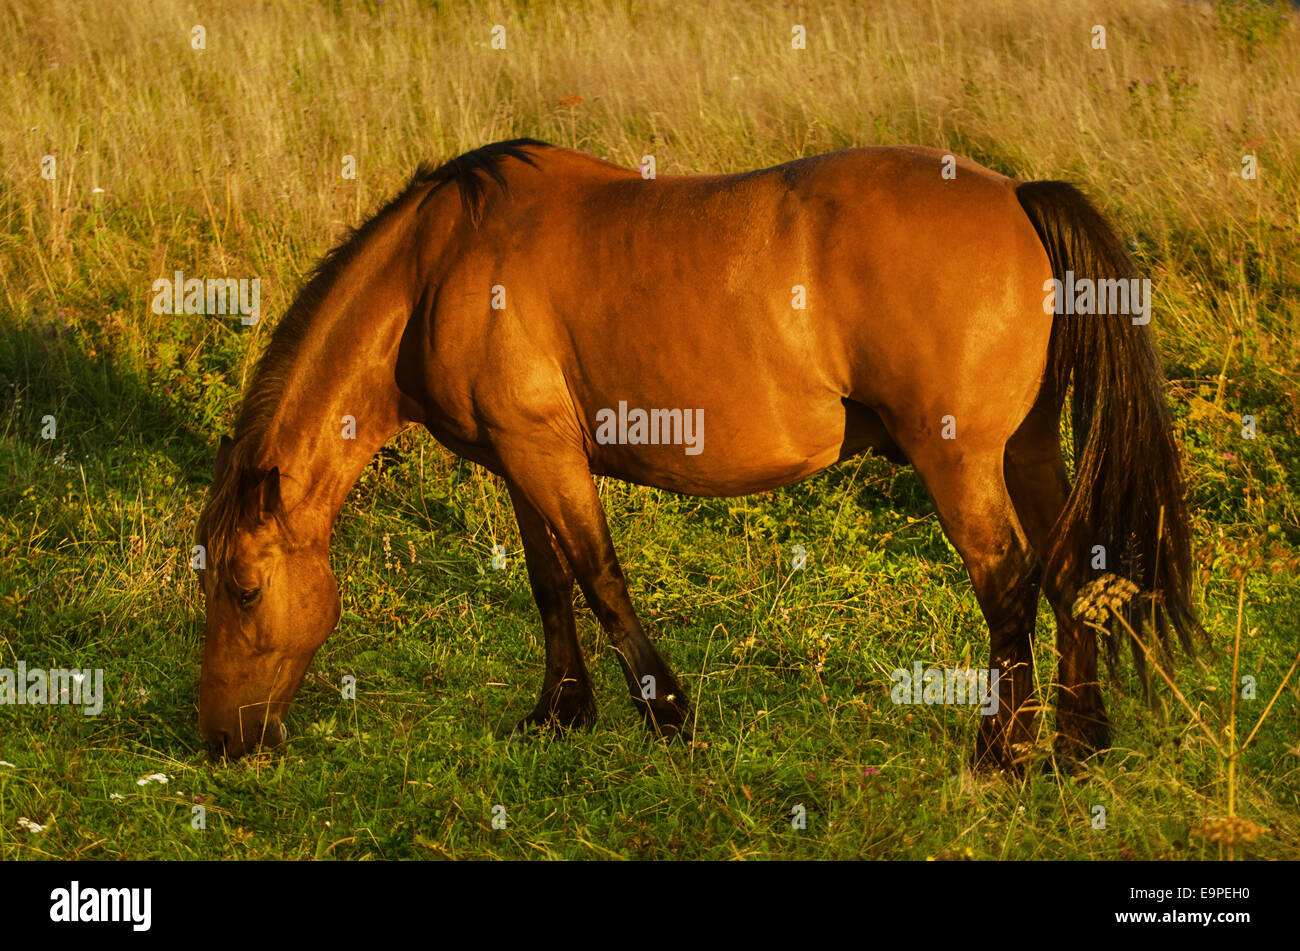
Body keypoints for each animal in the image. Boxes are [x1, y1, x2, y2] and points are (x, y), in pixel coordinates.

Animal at [196, 139, 1201, 770]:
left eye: (243, 588)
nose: (221, 739)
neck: (436, 265)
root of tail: (1018, 197)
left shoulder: (545, 452)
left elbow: (600, 578)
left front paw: (666, 714)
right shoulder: (520, 459)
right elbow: (550, 582)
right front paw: (558, 712)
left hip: (960, 463)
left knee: (1007, 584)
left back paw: (1003, 752)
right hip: (1026, 451)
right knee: (1074, 572)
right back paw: (1078, 742)